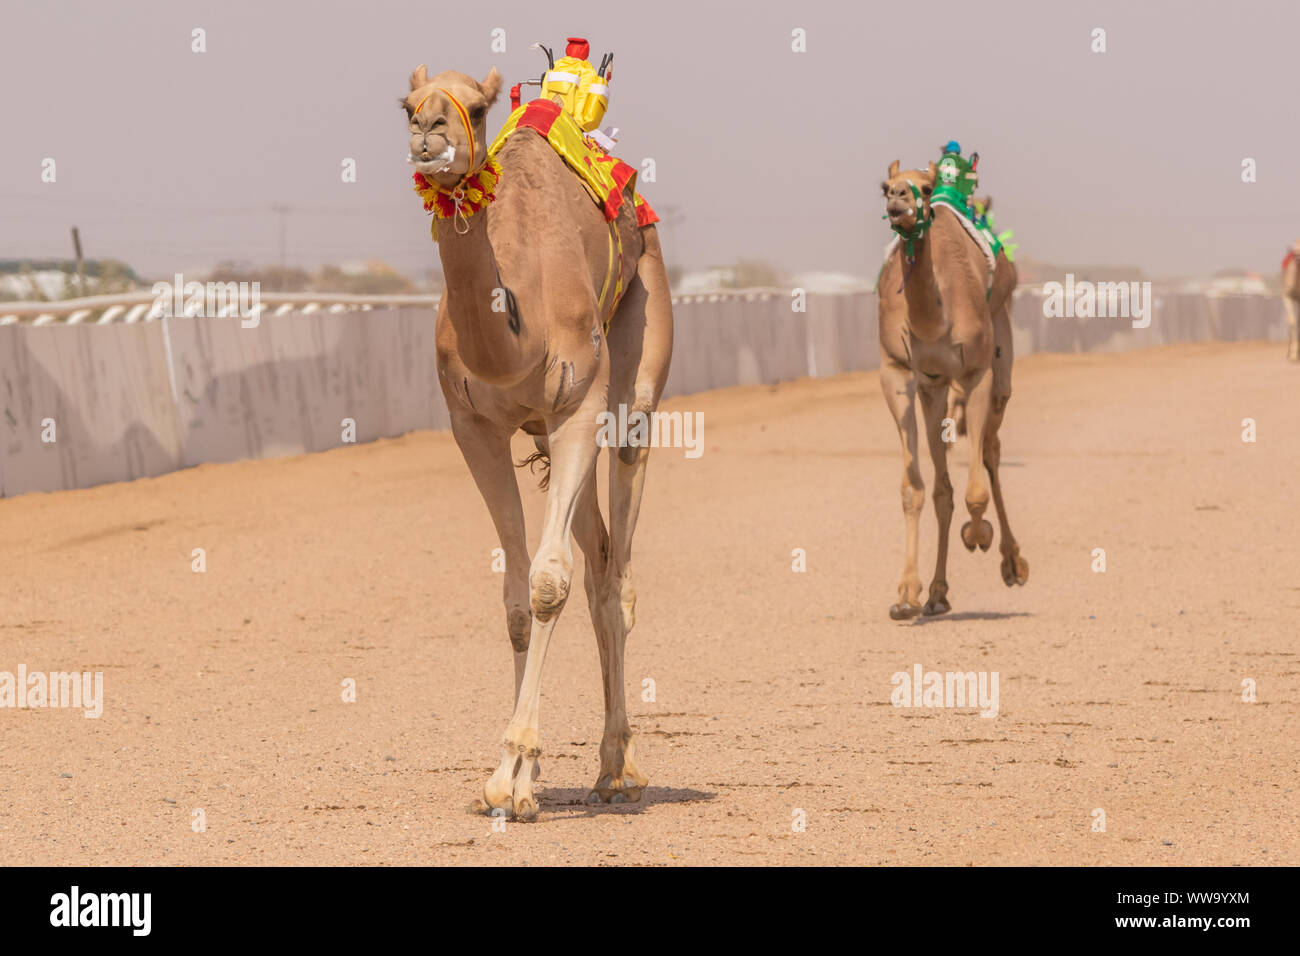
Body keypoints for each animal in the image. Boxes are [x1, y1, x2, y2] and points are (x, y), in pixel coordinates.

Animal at [402, 66, 673, 819]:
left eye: (476, 107)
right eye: (407, 106)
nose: (428, 135)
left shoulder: (579, 404)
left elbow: (551, 582)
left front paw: (511, 769)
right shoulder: (473, 428)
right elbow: (518, 599)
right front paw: (520, 779)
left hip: (637, 362)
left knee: (618, 574)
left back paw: (620, 768)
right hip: (548, 440)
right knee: (601, 557)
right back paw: (610, 764)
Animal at [877, 161, 1028, 620]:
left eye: (925, 189)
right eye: (885, 187)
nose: (899, 201)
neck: (932, 321)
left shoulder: (976, 372)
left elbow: (977, 490)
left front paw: (978, 536)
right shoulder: (900, 373)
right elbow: (914, 488)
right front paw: (906, 595)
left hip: (1000, 356)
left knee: (991, 450)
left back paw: (1012, 561)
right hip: (934, 388)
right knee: (943, 486)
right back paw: (938, 593)